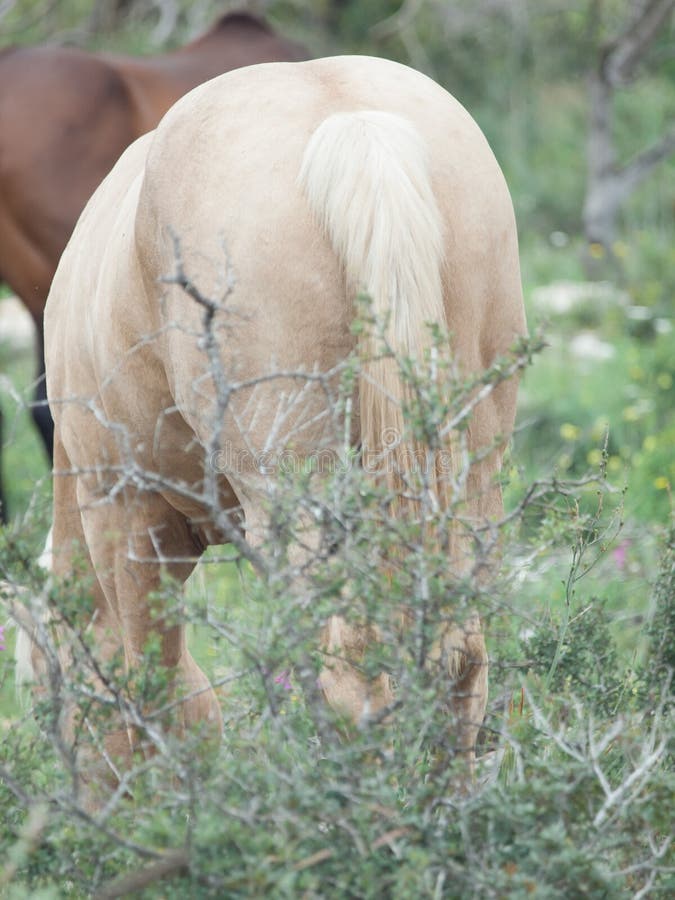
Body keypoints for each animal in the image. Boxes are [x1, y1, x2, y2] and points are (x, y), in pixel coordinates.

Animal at [32, 54, 526, 801]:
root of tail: (353, 123)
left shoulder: (123, 511)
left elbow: (153, 688)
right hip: (469, 478)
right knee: (463, 657)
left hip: (296, 498)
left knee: (347, 675)